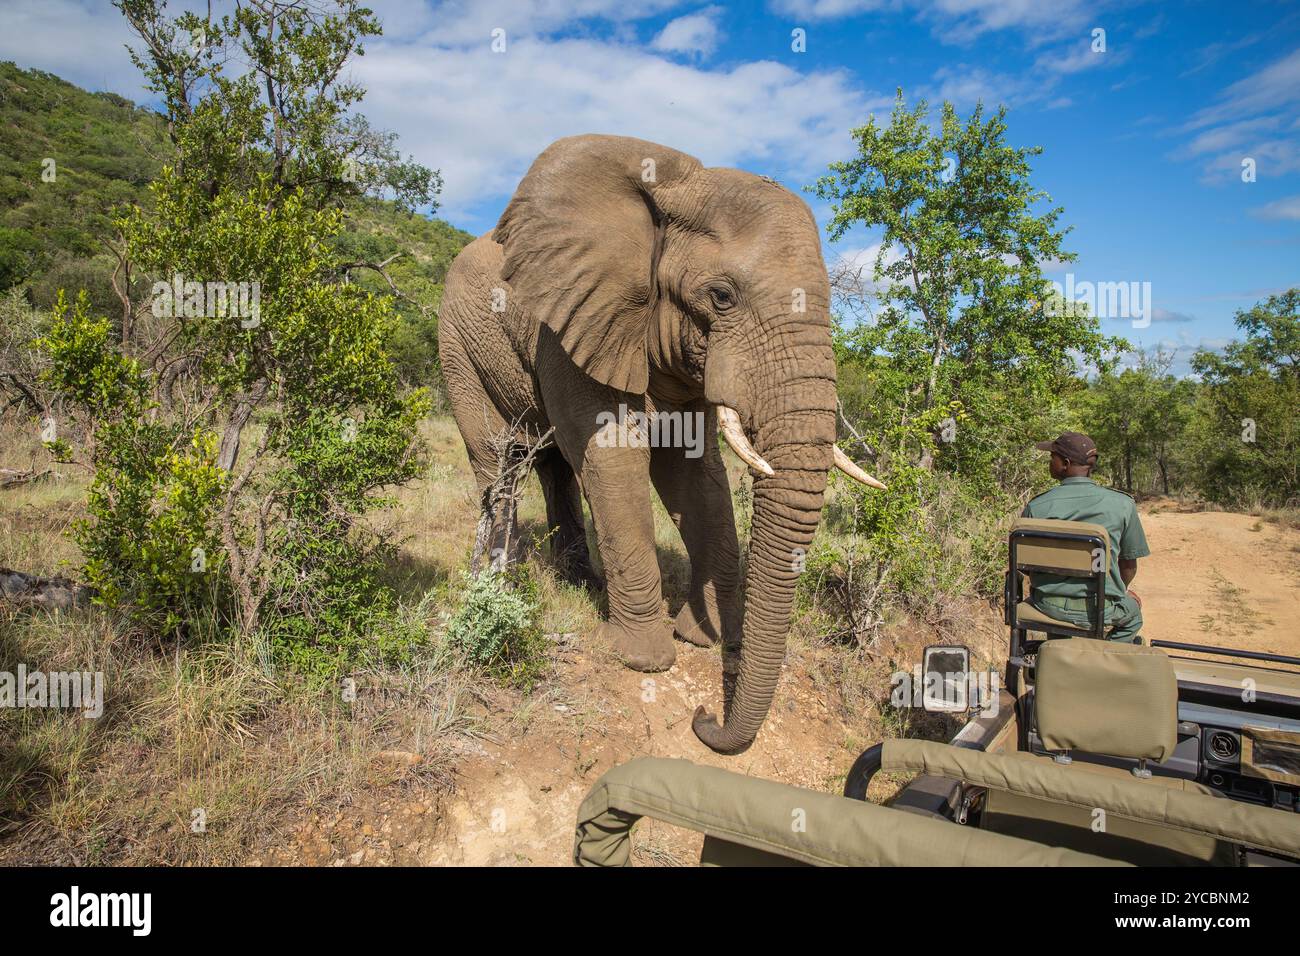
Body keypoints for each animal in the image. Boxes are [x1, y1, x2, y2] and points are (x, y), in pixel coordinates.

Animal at [438, 134, 884, 754]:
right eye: (721, 297)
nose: (706, 717)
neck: (677, 185)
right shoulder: (574, 321)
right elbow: (614, 458)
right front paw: (646, 660)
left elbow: (695, 475)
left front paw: (706, 636)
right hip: (458, 345)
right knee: (498, 460)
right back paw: (499, 585)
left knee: (551, 465)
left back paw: (578, 581)